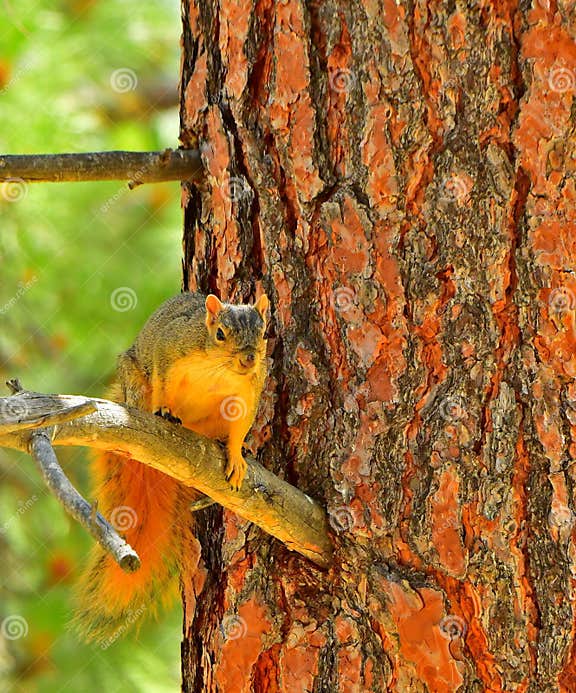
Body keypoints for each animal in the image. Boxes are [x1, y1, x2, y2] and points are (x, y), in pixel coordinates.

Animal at [73, 290, 269, 643]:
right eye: (220, 333)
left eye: (263, 333)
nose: (248, 359)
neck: (219, 369)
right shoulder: (170, 348)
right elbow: (163, 379)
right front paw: (164, 408)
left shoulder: (248, 392)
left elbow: (241, 425)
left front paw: (236, 455)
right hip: (135, 380)